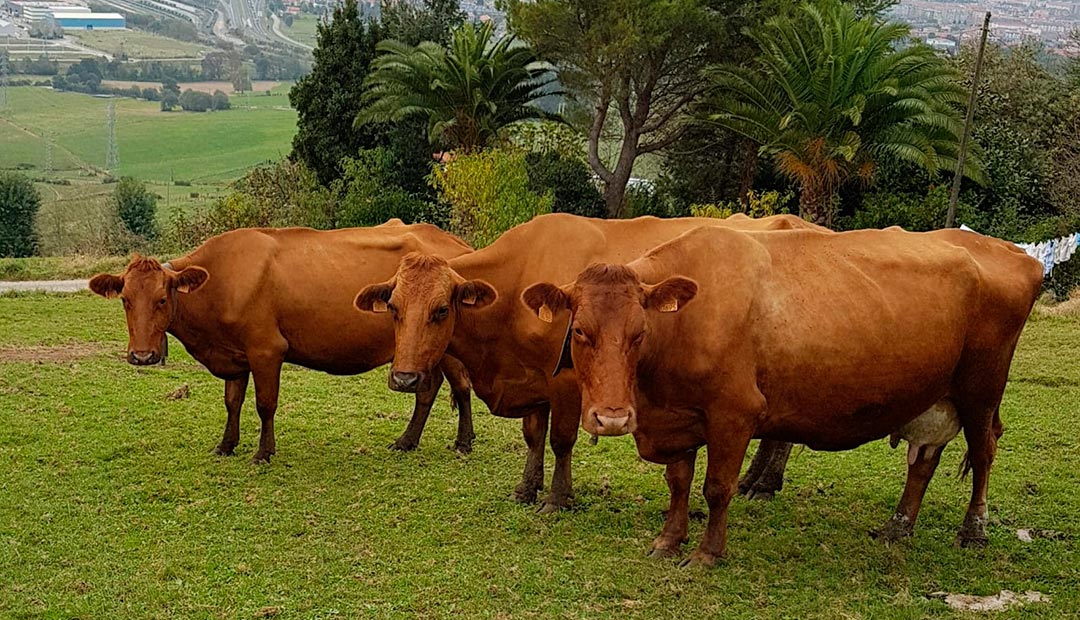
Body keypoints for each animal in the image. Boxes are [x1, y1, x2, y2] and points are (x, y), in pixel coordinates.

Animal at [88, 223, 475, 463]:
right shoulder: (235, 356)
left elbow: (265, 404)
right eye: (125, 300)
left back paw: (462, 441)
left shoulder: (266, 349)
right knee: (429, 388)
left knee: (459, 384)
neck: (220, 284)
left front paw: (264, 452)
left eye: (161, 300)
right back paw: (408, 441)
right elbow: (232, 402)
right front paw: (226, 444)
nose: (142, 356)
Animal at [353, 213, 826, 511]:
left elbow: (560, 440)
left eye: (440, 310)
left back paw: (763, 483)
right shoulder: (535, 382)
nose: (405, 377)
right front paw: (527, 487)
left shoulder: (564, 383)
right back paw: (756, 480)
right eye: (393, 307)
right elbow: (533, 436)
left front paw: (557, 498)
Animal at [521, 226, 1042, 566]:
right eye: (581, 331)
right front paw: (669, 540)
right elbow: (678, 482)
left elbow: (717, 488)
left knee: (985, 450)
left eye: (639, 333)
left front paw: (708, 553)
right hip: (935, 395)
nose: (611, 418)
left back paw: (973, 530)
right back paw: (898, 526)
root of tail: (1009, 250)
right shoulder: (676, 416)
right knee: (924, 459)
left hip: (981, 390)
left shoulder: (734, 414)